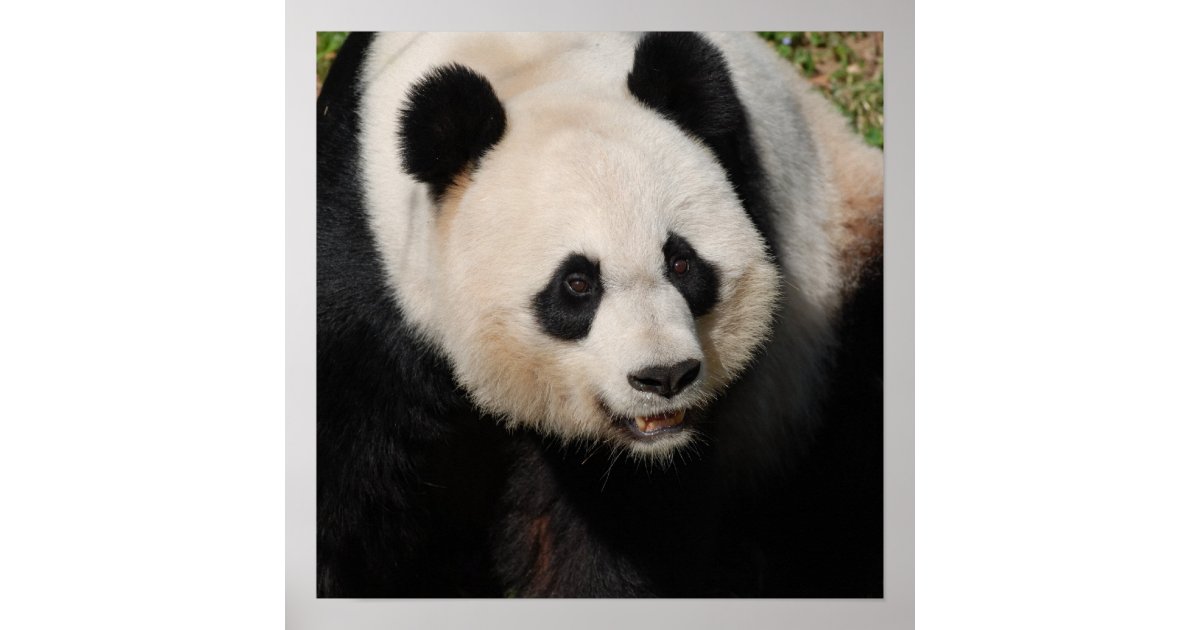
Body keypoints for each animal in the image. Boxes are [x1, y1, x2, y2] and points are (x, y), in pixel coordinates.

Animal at [317, 32, 884, 597]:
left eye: (681, 263)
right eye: (577, 283)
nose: (665, 377)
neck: (536, 63)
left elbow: (619, 526)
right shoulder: (367, 271)